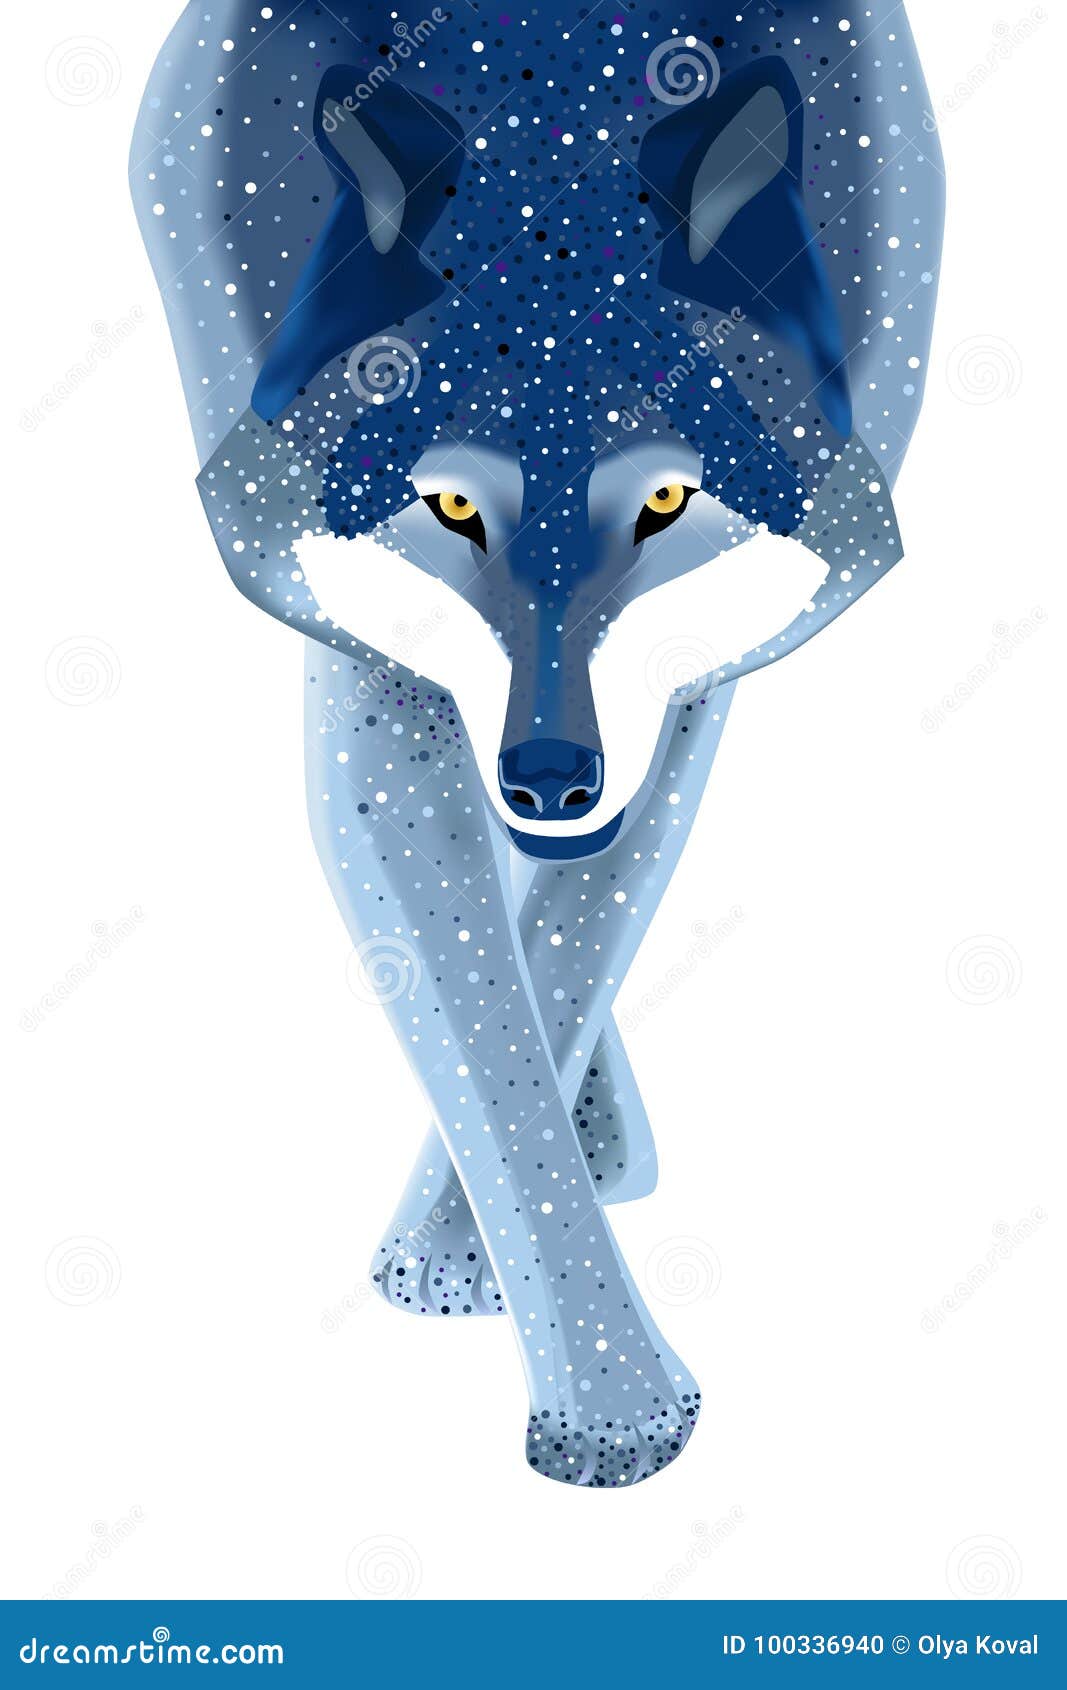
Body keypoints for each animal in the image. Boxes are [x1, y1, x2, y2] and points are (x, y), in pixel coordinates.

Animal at [132, 1, 944, 1485]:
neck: (553, 82)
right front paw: (604, 1394)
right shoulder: (372, 673)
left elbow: (561, 953)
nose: (552, 774)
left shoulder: (691, 698)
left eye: (667, 500)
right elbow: (481, 1011)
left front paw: (487, 1278)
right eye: (451, 504)